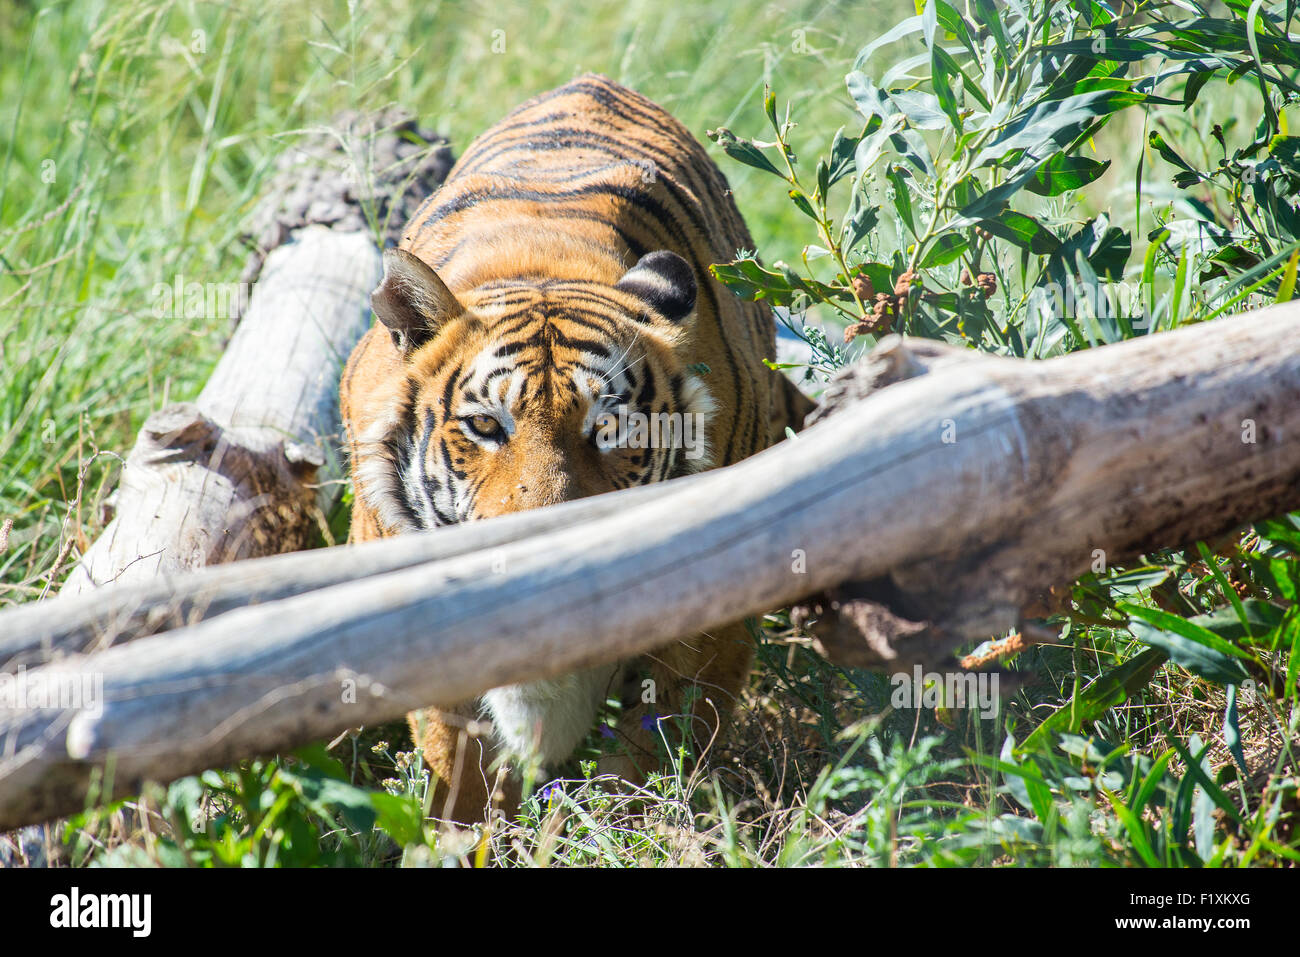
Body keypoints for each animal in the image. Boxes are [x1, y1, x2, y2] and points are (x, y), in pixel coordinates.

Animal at [339, 72, 815, 823]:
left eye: (609, 428)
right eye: (486, 426)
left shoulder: (709, 624)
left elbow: (653, 749)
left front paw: (626, 828)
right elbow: (459, 767)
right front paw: (469, 834)